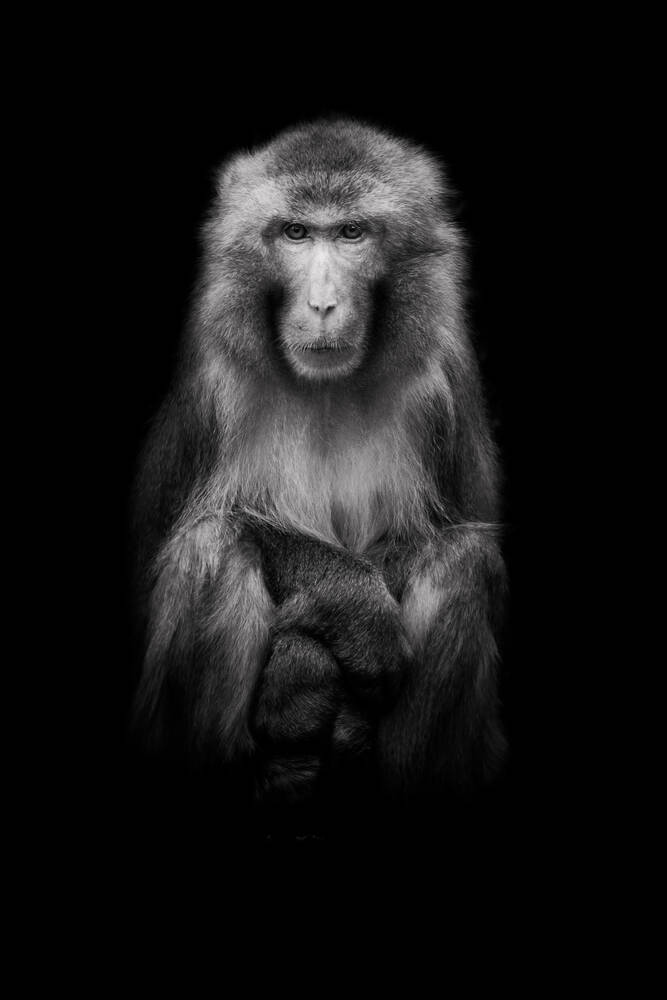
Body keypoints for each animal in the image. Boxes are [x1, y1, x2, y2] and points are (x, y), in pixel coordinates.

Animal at [131, 118, 507, 808]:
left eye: (352, 232)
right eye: (296, 233)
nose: (323, 303)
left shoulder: (444, 386)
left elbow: (437, 542)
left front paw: (312, 666)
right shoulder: (215, 388)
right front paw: (348, 619)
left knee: (461, 565)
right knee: (213, 547)